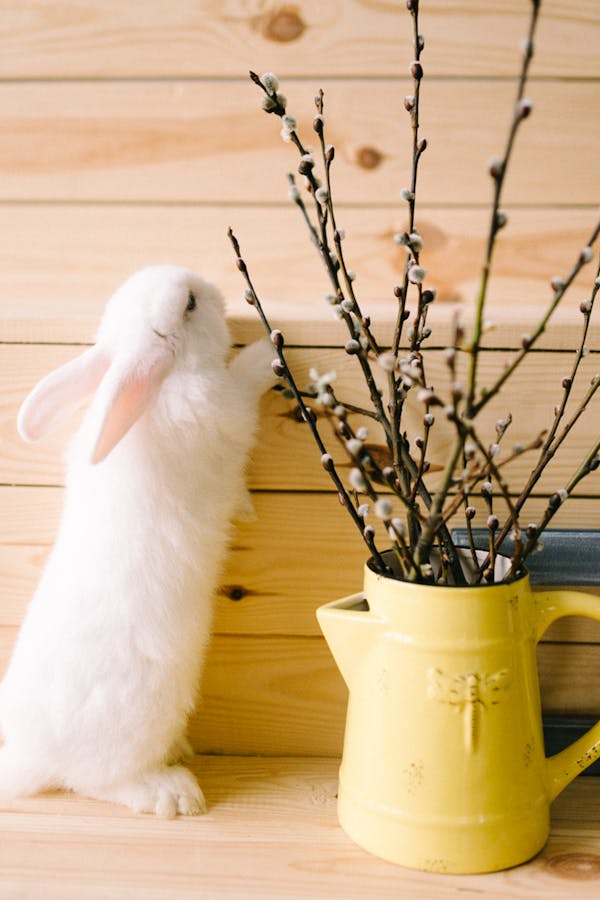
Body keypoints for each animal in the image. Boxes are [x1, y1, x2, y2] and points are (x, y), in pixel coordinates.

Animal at [0, 264, 275, 817]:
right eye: (190, 304)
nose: (209, 286)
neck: (165, 385)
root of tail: (31, 757)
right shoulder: (226, 408)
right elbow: (243, 384)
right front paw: (267, 354)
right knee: (95, 781)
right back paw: (173, 792)